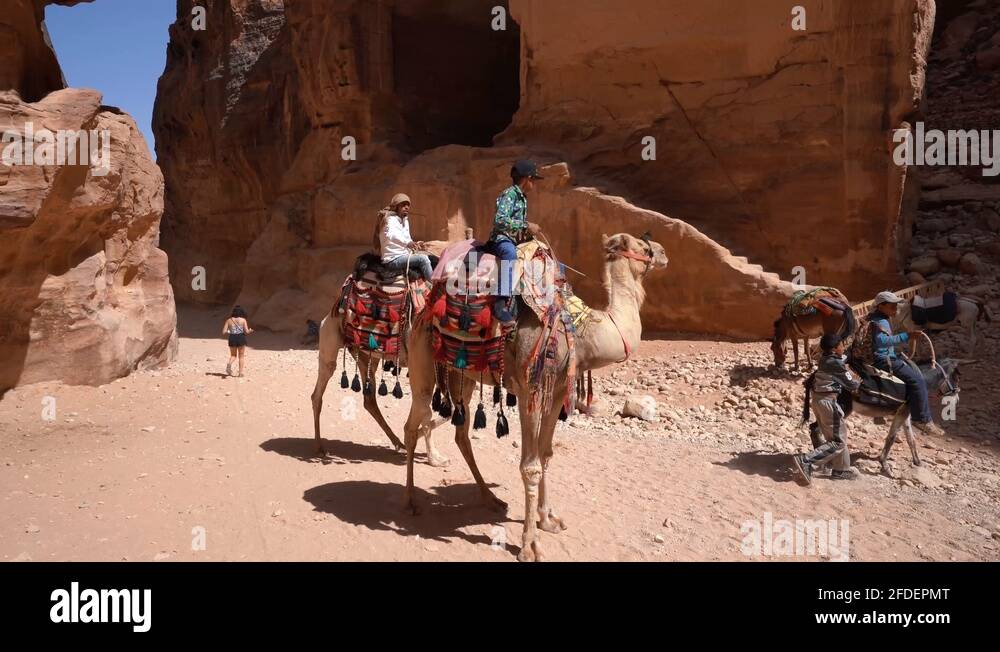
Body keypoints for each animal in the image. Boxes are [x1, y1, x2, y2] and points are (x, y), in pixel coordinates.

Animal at [401, 233, 669, 561]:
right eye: (644, 247)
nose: (664, 253)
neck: (581, 332)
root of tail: (423, 310)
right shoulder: (531, 390)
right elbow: (530, 467)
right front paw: (529, 545)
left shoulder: (556, 394)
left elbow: (545, 454)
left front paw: (548, 519)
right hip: (422, 362)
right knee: (412, 424)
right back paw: (410, 500)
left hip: (463, 376)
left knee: (461, 432)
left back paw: (490, 498)